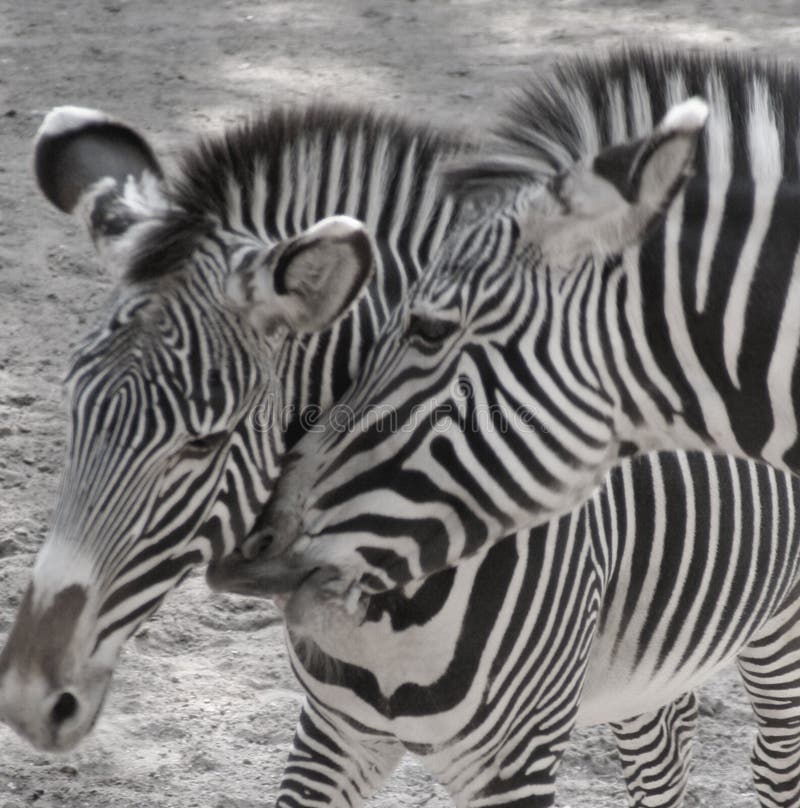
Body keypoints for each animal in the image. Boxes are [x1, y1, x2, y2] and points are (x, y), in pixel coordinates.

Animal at [216, 49, 800, 804]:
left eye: (431, 329)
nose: (258, 549)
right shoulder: (334, 732)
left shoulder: (516, 757)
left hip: (781, 629)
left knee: (775, 760)